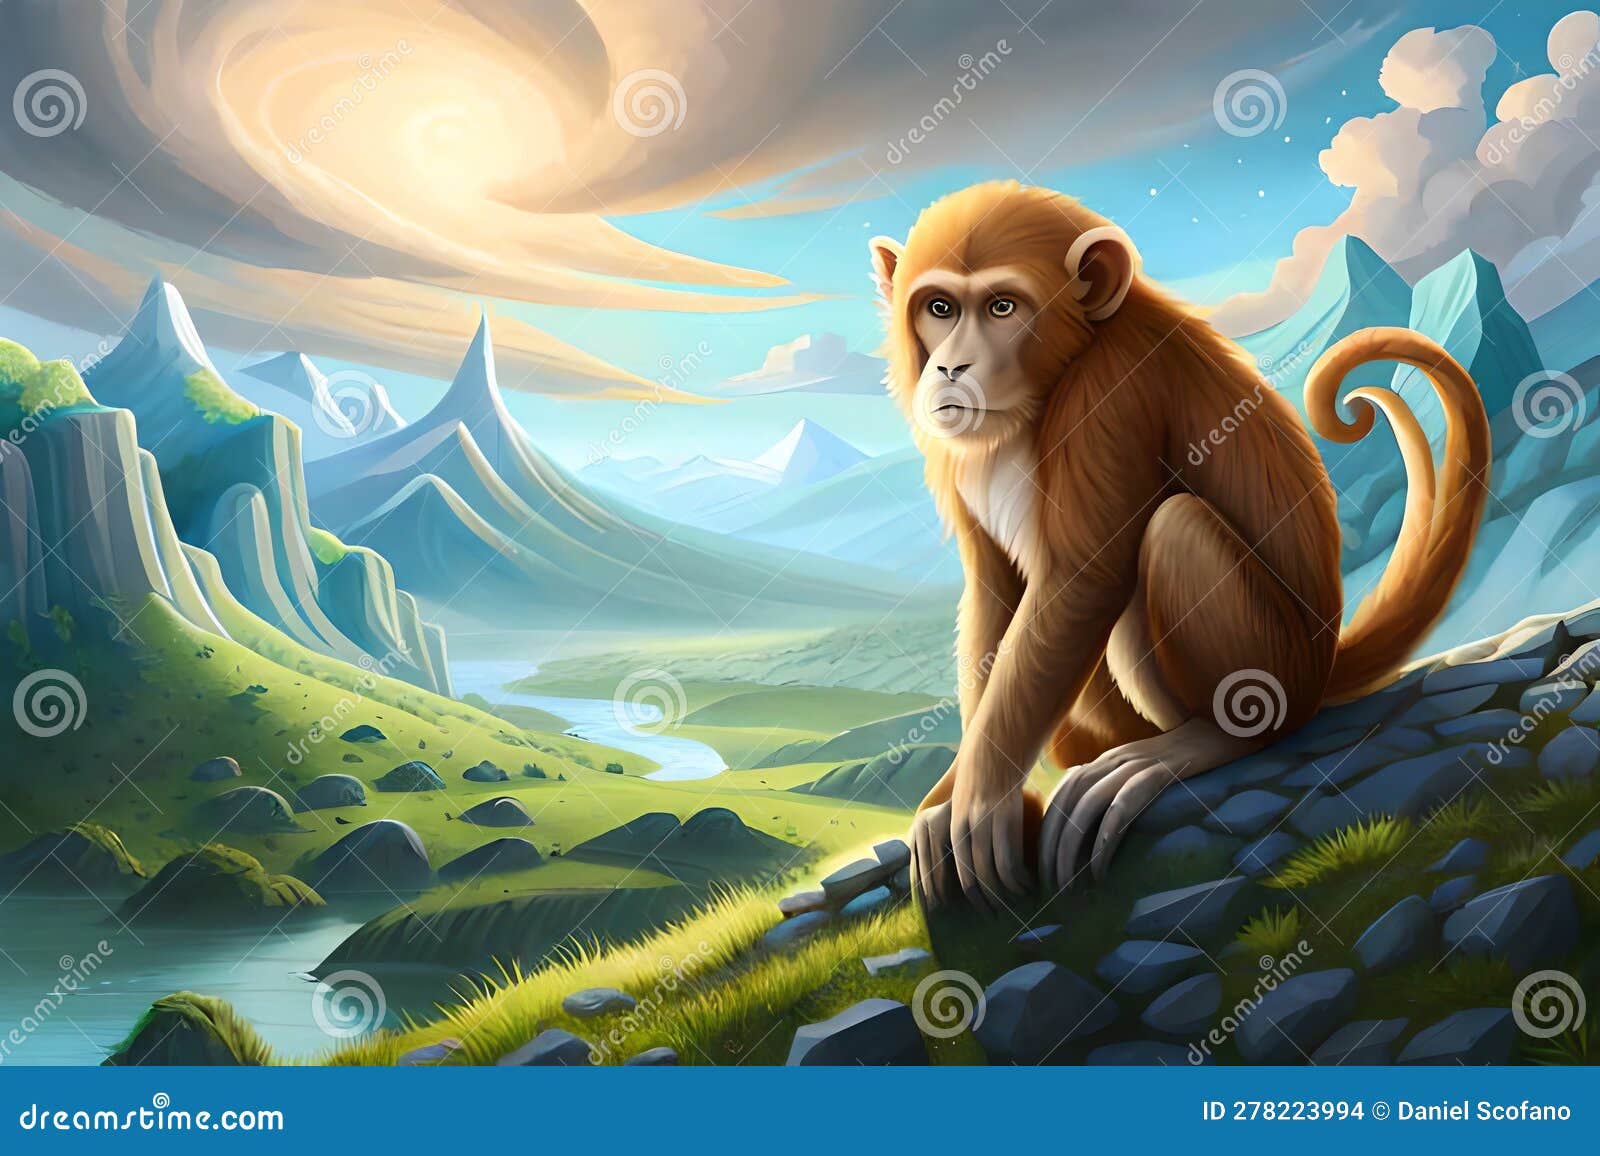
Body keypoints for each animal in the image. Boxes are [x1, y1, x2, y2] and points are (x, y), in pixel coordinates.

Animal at [868, 180, 1490, 913]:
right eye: (938, 308)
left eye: (1001, 307)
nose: (951, 366)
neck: (1053, 377)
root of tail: (1327, 657)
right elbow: (997, 591)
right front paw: (948, 796)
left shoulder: (1111, 390)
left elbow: (1082, 582)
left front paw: (980, 799)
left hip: (1280, 663)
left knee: (1176, 528)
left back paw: (1206, 741)